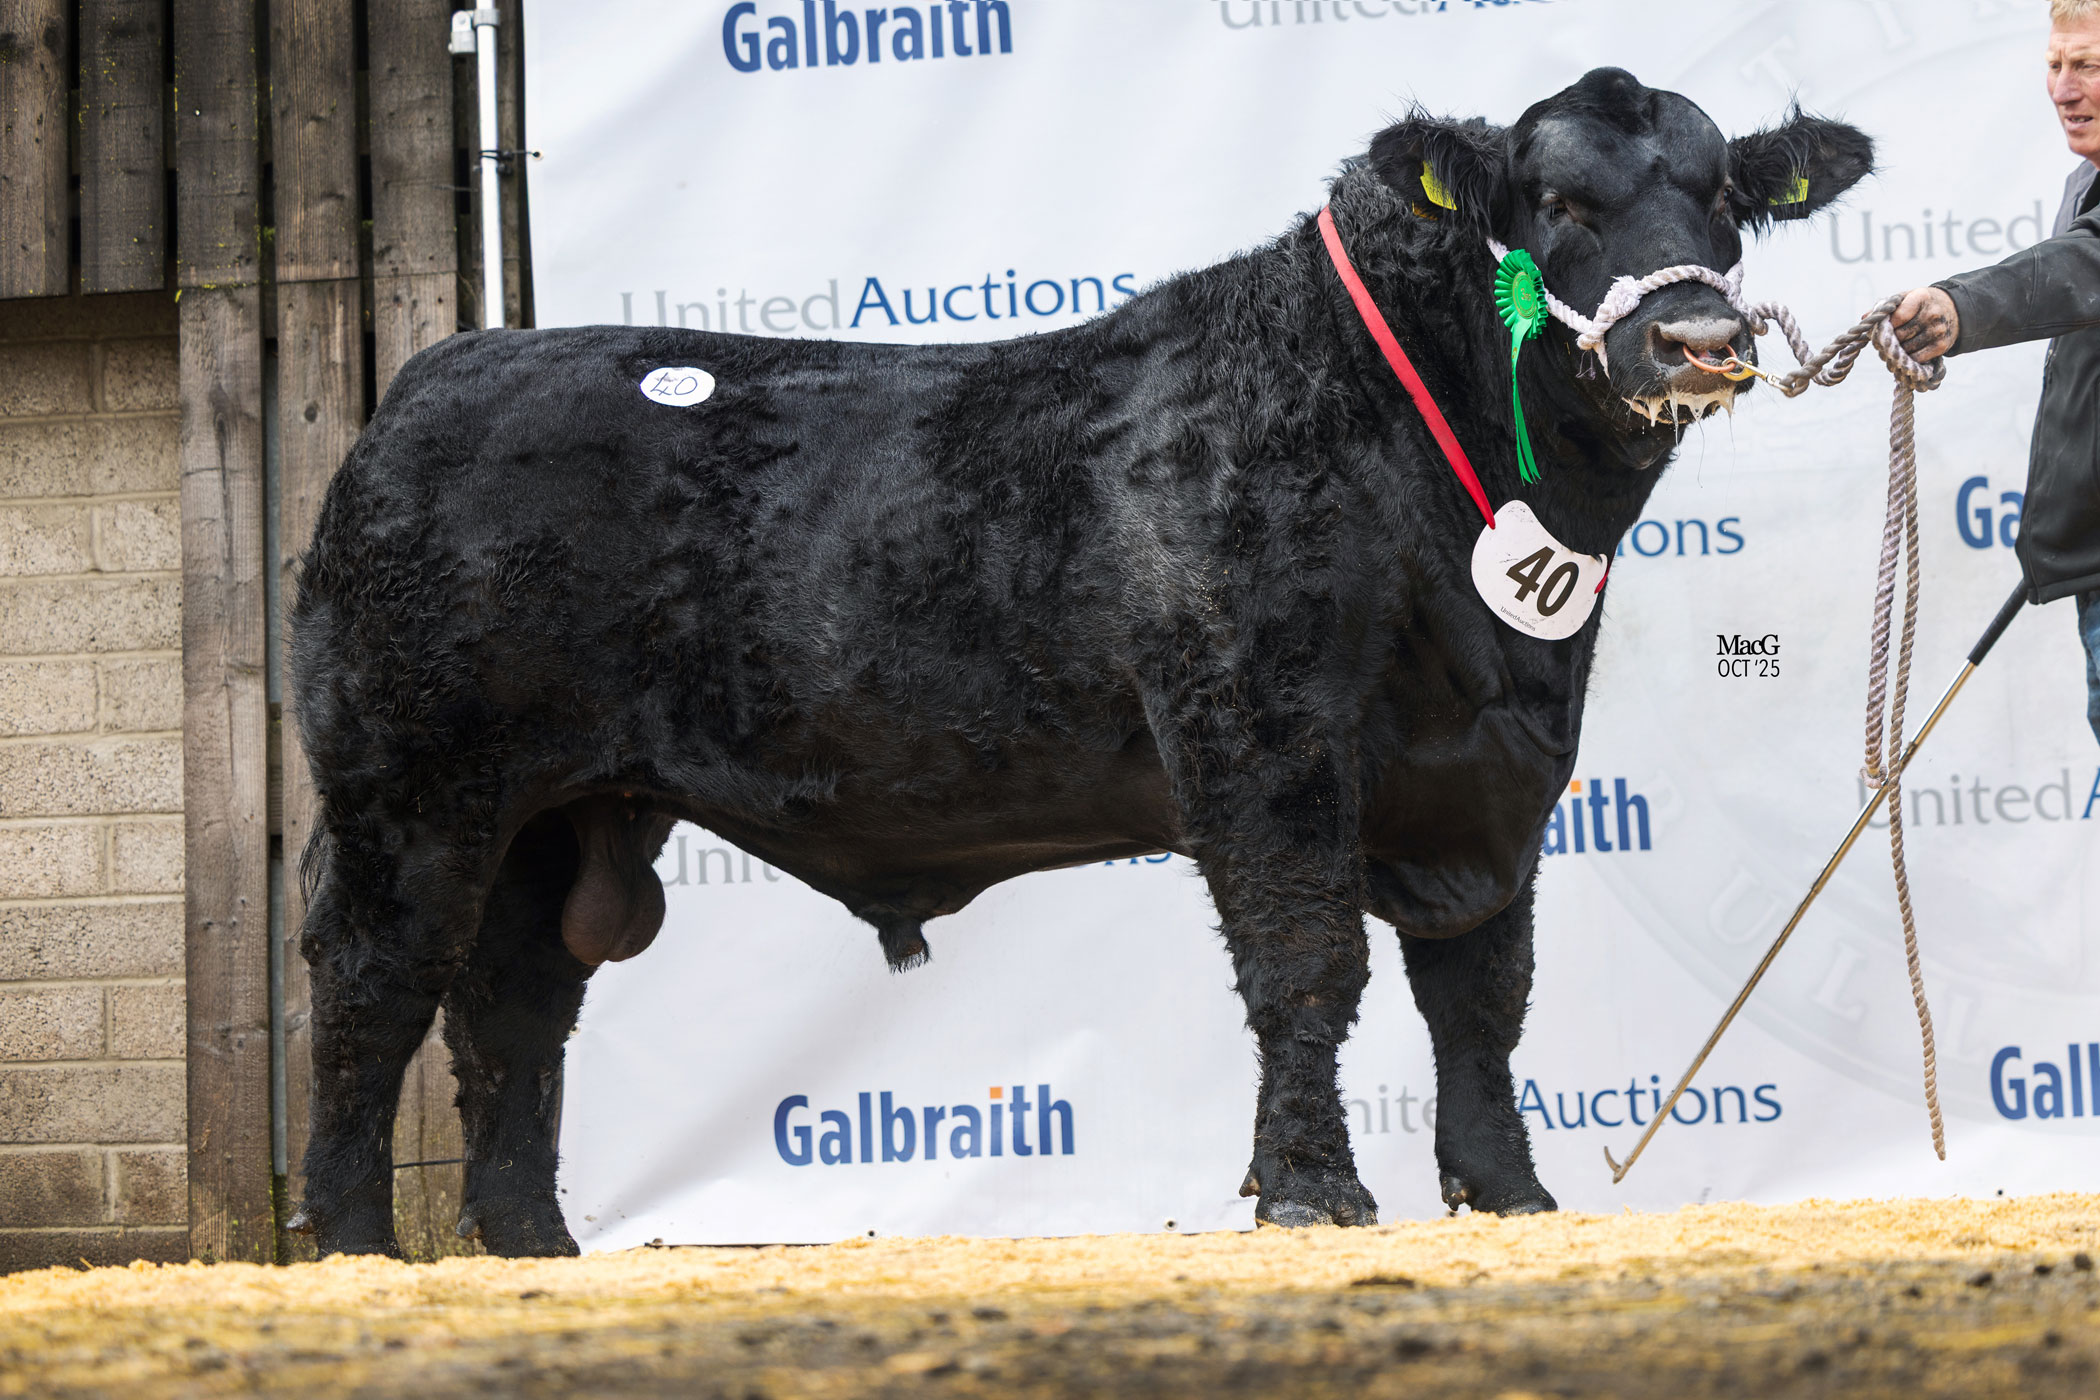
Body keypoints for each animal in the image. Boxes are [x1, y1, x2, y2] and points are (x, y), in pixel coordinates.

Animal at [285, 68, 1872, 1257]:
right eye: (1558, 201)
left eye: (1727, 198)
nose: (1700, 338)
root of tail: (437, 375)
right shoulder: (1263, 732)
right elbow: (1310, 959)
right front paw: (1314, 1191)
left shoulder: (1495, 774)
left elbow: (1481, 987)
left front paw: (1511, 1195)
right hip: (411, 786)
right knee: (376, 977)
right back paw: (354, 1241)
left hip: (559, 813)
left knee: (513, 1007)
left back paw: (528, 1245)